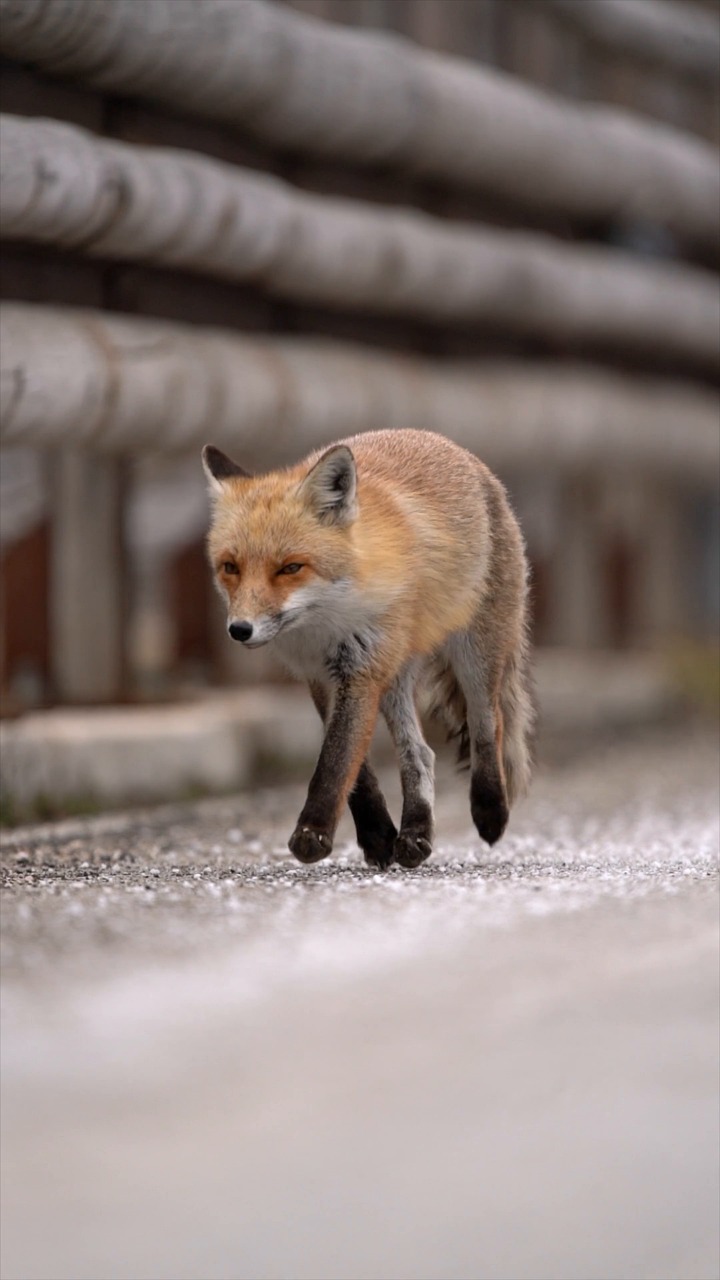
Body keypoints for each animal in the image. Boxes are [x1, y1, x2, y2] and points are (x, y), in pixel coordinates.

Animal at [202, 429, 533, 869]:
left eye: (290, 568)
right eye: (230, 567)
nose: (240, 629)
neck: (323, 624)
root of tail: (456, 450)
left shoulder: (361, 667)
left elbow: (335, 760)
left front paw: (312, 834)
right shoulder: (321, 676)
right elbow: (355, 770)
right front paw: (377, 836)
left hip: (474, 656)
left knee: (486, 726)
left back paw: (490, 811)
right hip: (396, 673)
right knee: (420, 753)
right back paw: (415, 834)